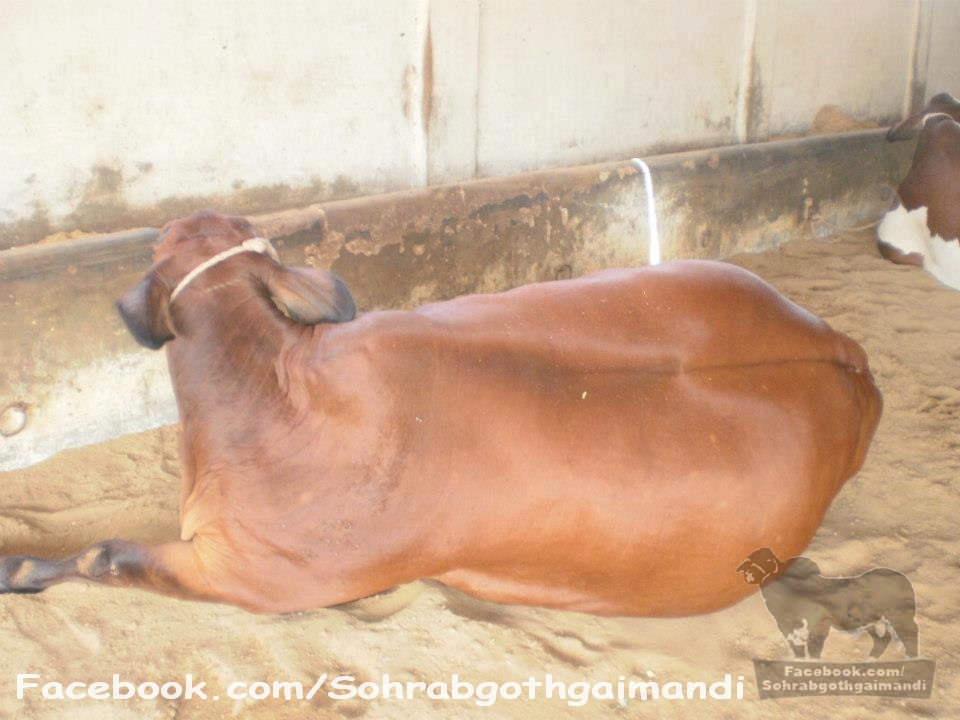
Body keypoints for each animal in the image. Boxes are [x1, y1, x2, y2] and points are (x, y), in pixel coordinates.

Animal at [0, 211, 883, 616]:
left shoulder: (249, 573)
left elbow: (104, 555)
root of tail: (847, 356)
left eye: (159, 248)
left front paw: (20, 570)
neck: (270, 390)